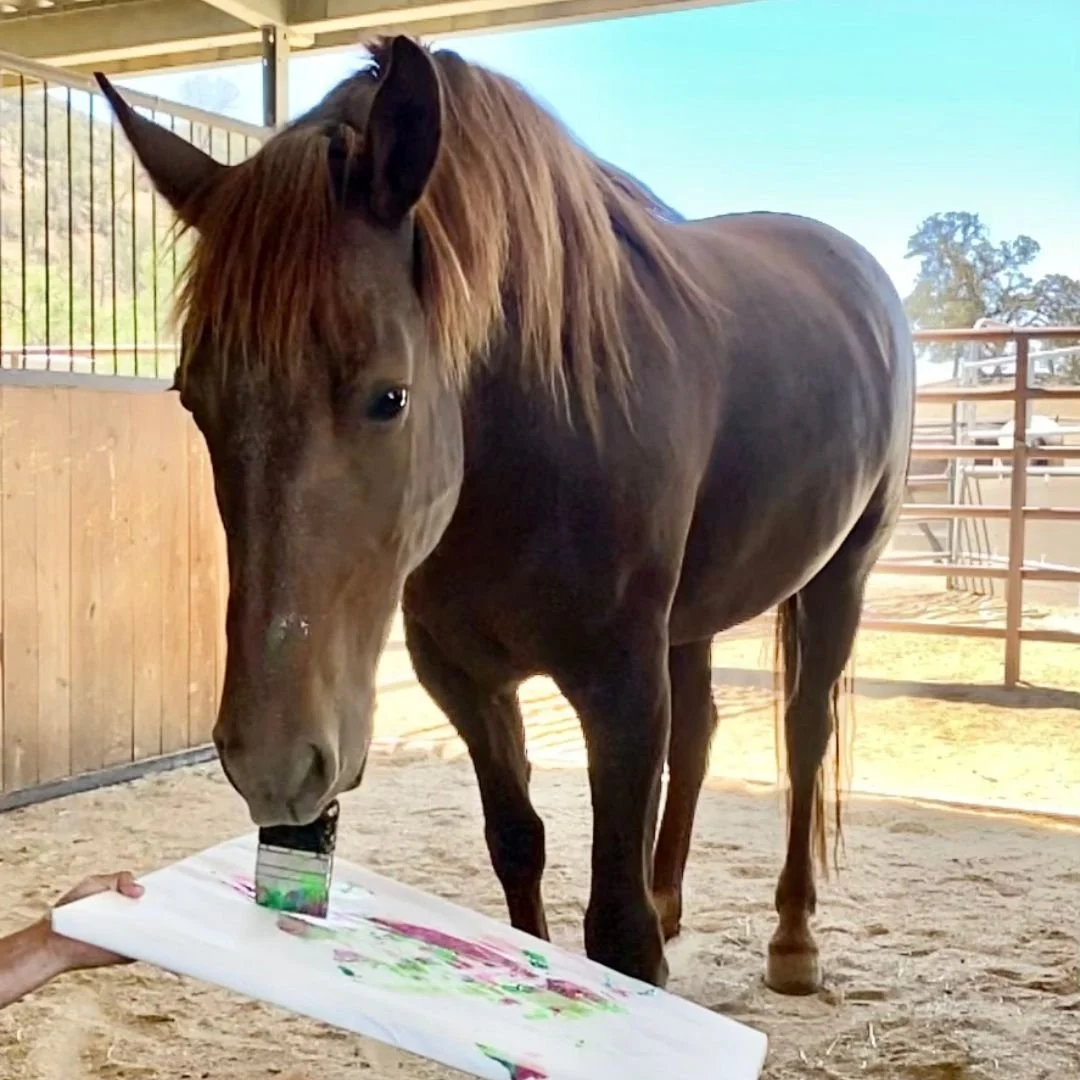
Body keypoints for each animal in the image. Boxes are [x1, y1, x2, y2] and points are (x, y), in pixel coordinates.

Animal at [96, 35, 914, 996]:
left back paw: (792, 939)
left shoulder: (621, 687)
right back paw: (675, 897)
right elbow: (517, 842)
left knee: (803, 732)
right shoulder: (463, 677)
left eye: (390, 397)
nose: (274, 765)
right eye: (193, 398)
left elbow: (617, 925)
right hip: (695, 613)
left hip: (840, 579)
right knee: (703, 734)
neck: (531, 450)